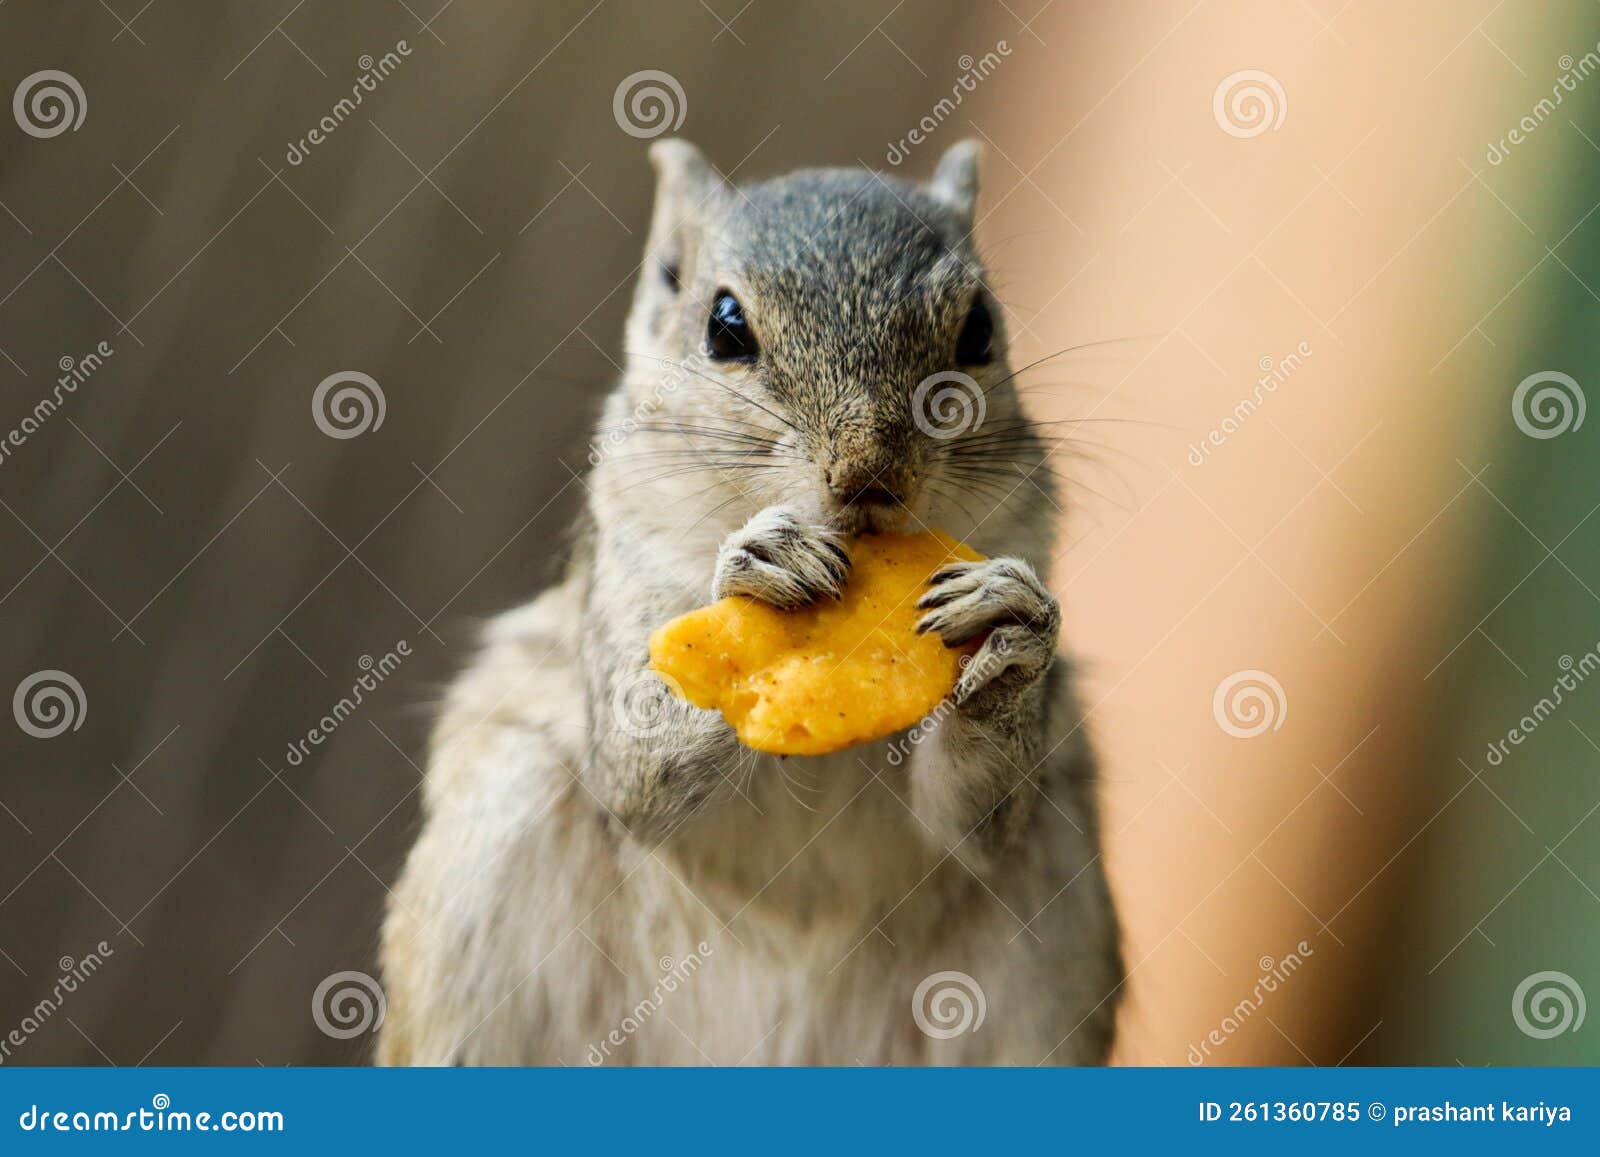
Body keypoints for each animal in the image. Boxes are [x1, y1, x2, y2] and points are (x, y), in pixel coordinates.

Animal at [377, 139, 1123, 1065]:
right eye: (724, 326)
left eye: (981, 327)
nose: (868, 475)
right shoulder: (623, 575)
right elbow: (635, 764)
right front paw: (756, 567)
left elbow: (982, 819)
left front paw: (1008, 625)